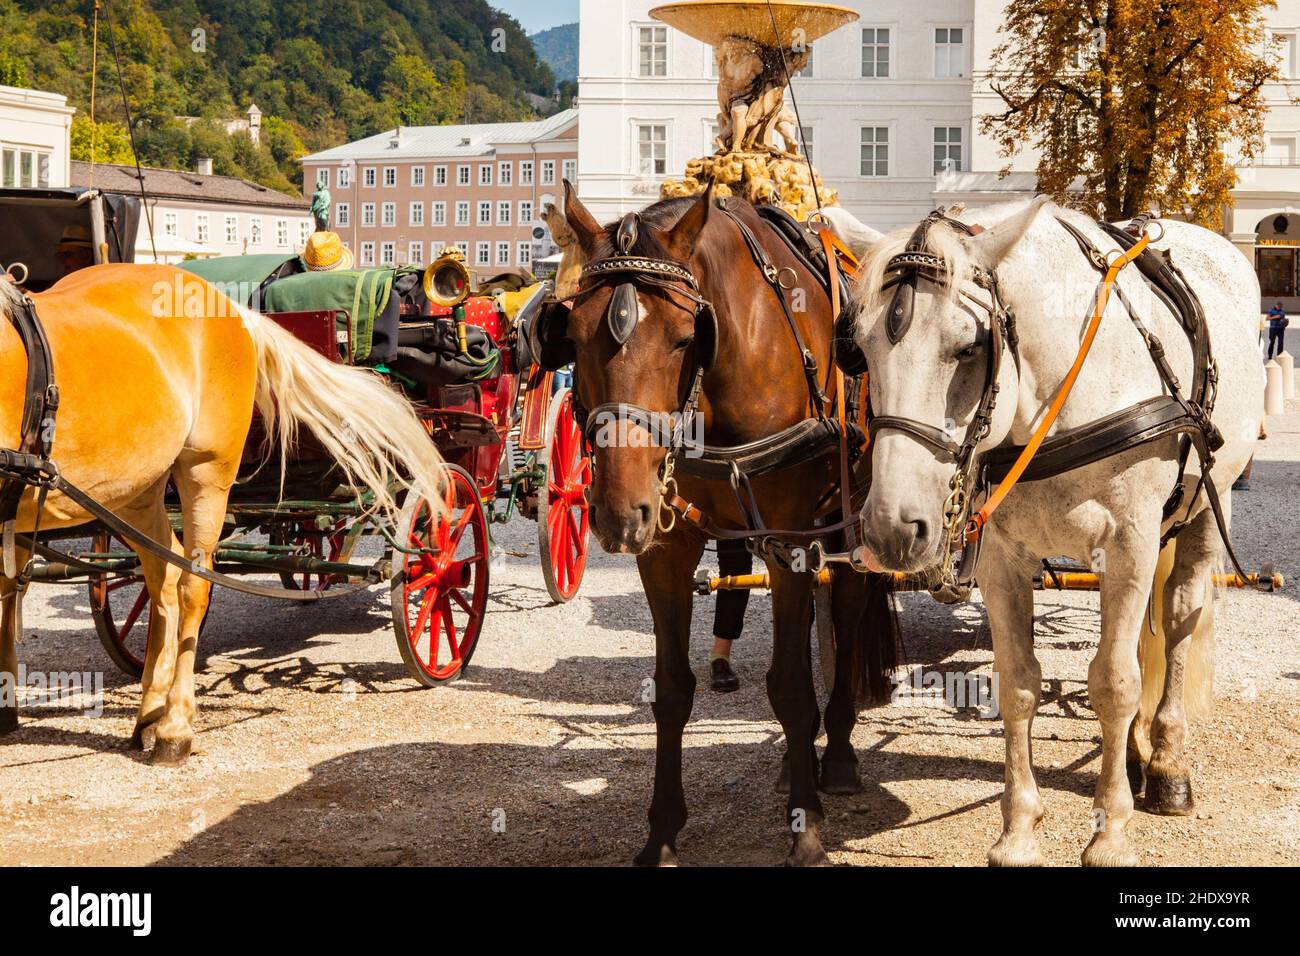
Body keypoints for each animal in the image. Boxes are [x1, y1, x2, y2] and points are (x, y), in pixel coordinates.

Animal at [0, 265, 444, 765]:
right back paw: (150, 709)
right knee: (161, 577)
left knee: (192, 583)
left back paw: (174, 727)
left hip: (205, 473)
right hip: (135, 489)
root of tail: (229, 304)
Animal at [553, 182, 898, 866]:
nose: (616, 513)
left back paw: (839, 753)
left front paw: (806, 828)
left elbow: (790, 686)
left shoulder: (791, 541)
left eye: (686, 336)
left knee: (846, 618)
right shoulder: (666, 547)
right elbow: (671, 690)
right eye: (572, 336)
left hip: (844, 523)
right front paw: (661, 831)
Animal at [826, 198, 1264, 866]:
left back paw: (1165, 764)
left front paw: (1110, 832)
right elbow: (1019, 684)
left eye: (969, 347)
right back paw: (1131, 758)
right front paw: (1019, 830)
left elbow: (1115, 683)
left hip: (1205, 513)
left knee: (1180, 617)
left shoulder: (1129, 543)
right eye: (861, 349)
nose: (892, 529)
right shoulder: (1001, 558)